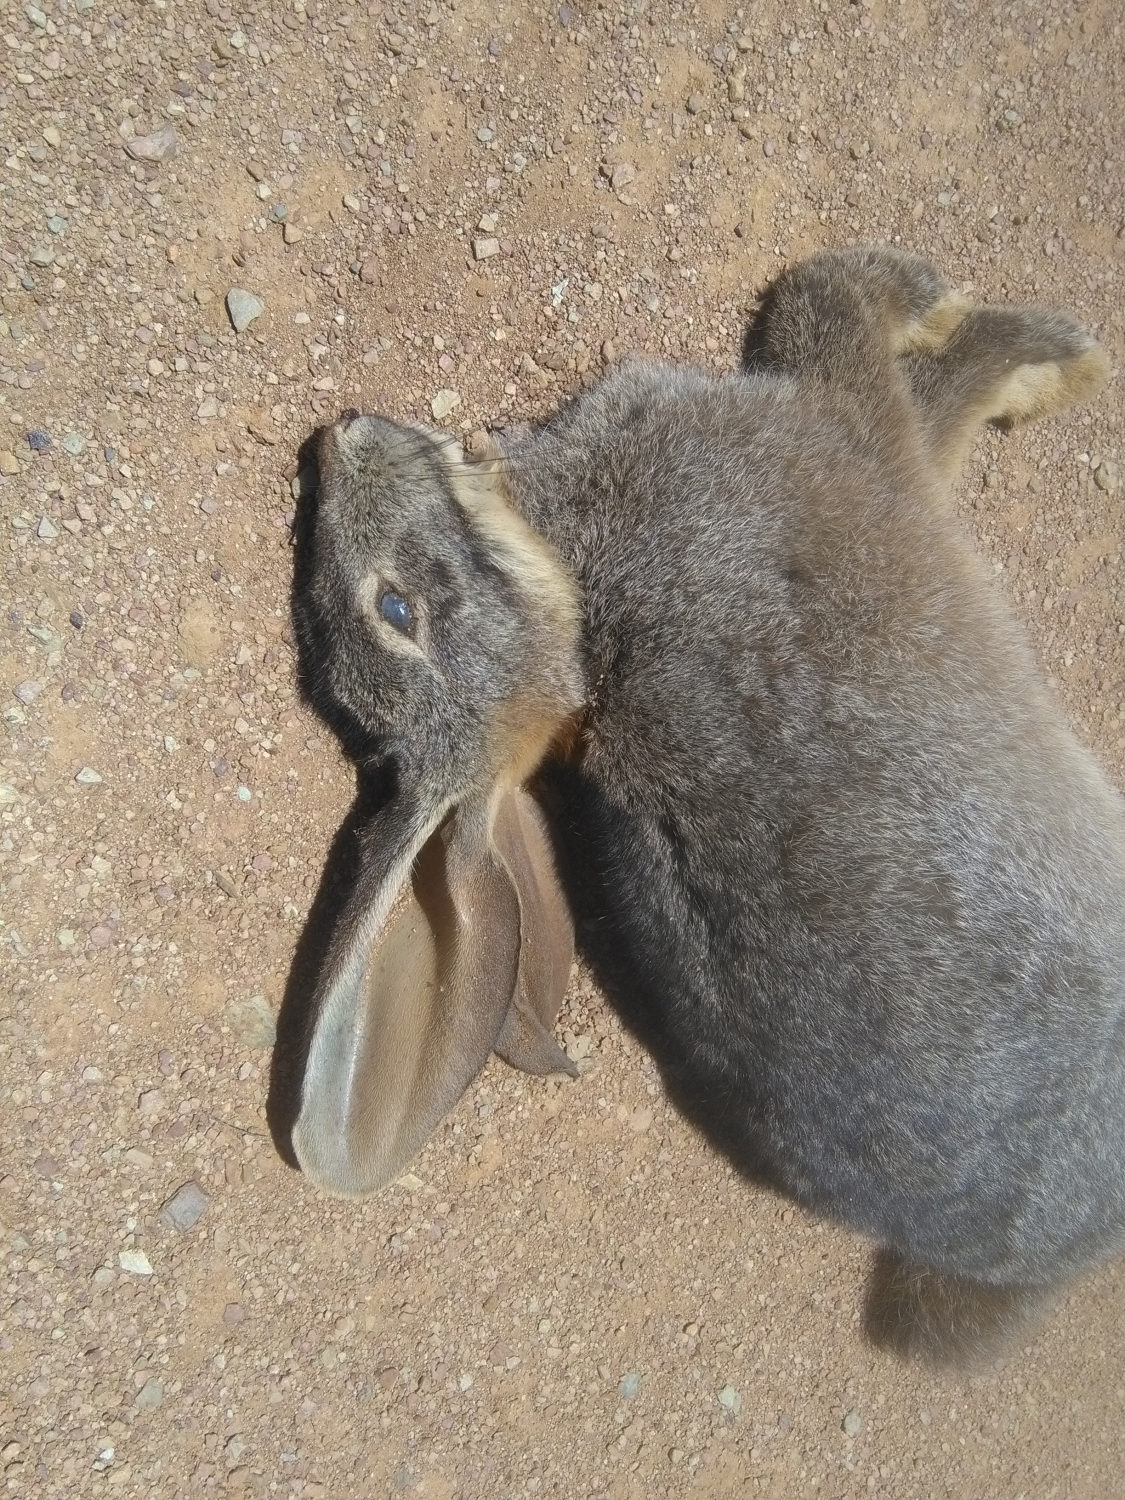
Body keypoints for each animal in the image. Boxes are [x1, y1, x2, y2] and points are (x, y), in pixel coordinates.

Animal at [290, 245, 1119, 1366]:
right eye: (393, 609)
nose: (339, 436)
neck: (573, 591)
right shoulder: (835, 430)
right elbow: (846, 314)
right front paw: (1013, 338)